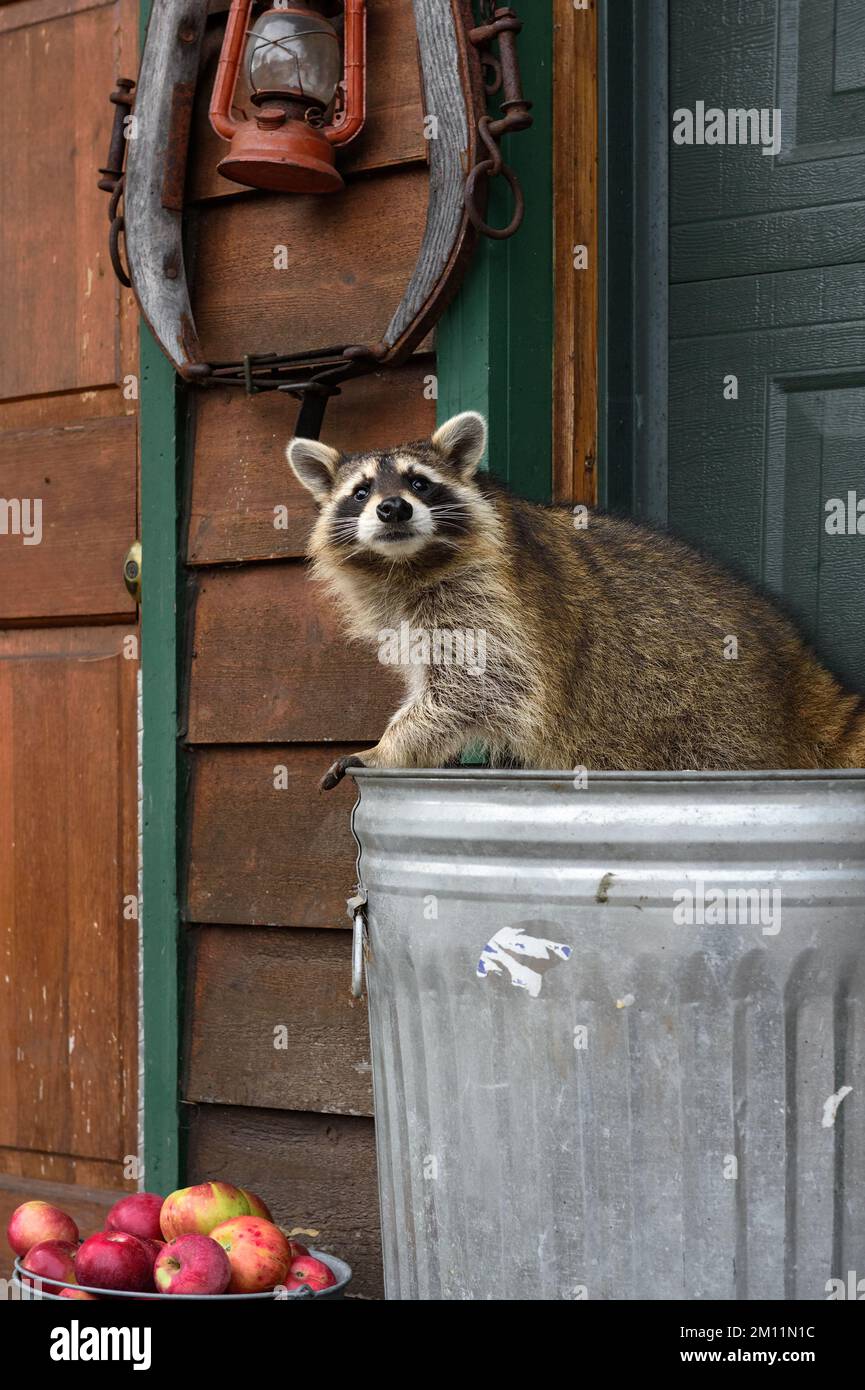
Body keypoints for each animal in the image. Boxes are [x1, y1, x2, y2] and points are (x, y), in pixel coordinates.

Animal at [288, 411, 865, 789]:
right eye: (361, 491)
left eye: (420, 483)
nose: (392, 508)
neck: (407, 565)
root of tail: (802, 679)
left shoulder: (488, 600)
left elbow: (479, 686)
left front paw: (389, 747)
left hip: (711, 718)